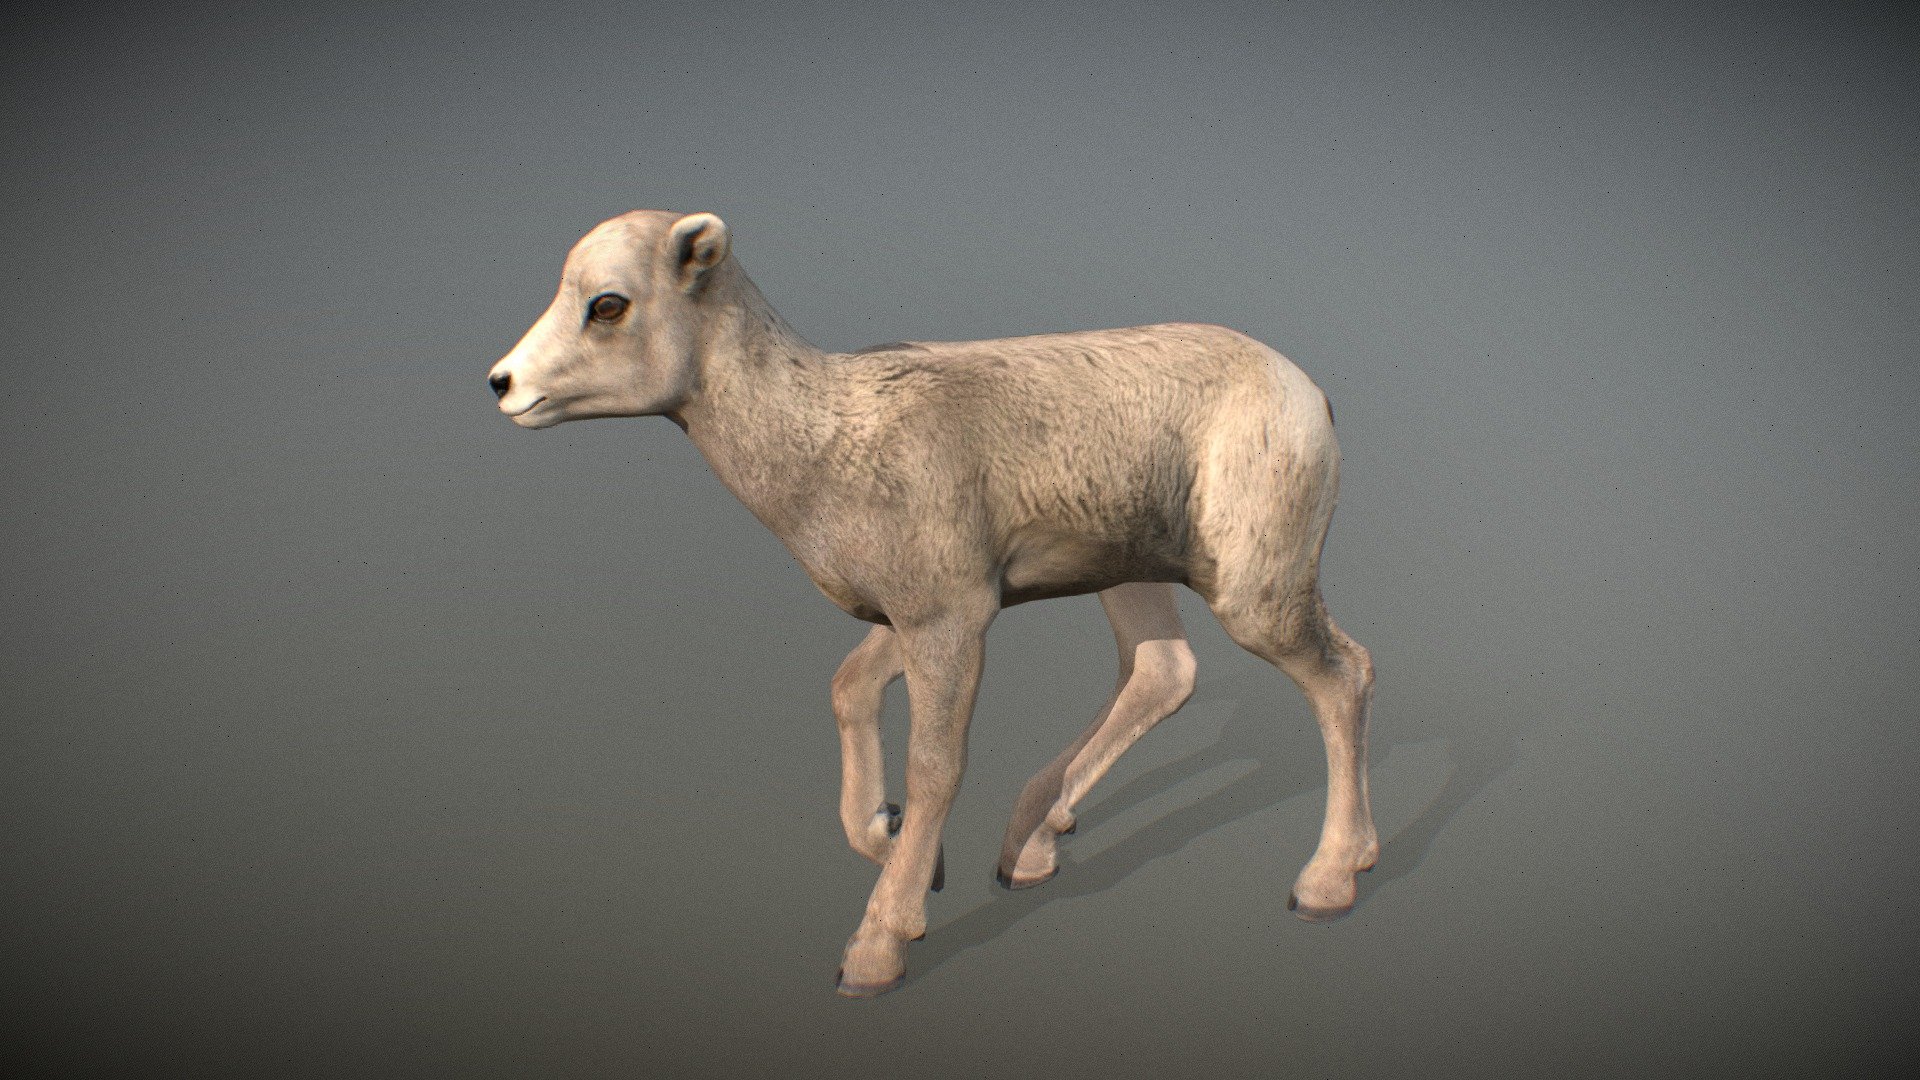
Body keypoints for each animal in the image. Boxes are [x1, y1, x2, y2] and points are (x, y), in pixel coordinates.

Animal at [486, 209, 1378, 997]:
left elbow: (935, 766)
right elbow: (848, 692)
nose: (503, 384)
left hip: (1256, 591)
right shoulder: (920, 615)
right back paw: (1029, 850)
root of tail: (1313, 395)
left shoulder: (949, 622)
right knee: (1166, 673)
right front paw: (899, 848)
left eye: (608, 303)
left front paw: (877, 950)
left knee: (1342, 675)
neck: (826, 437)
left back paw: (1328, 882)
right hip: (1132, 576)